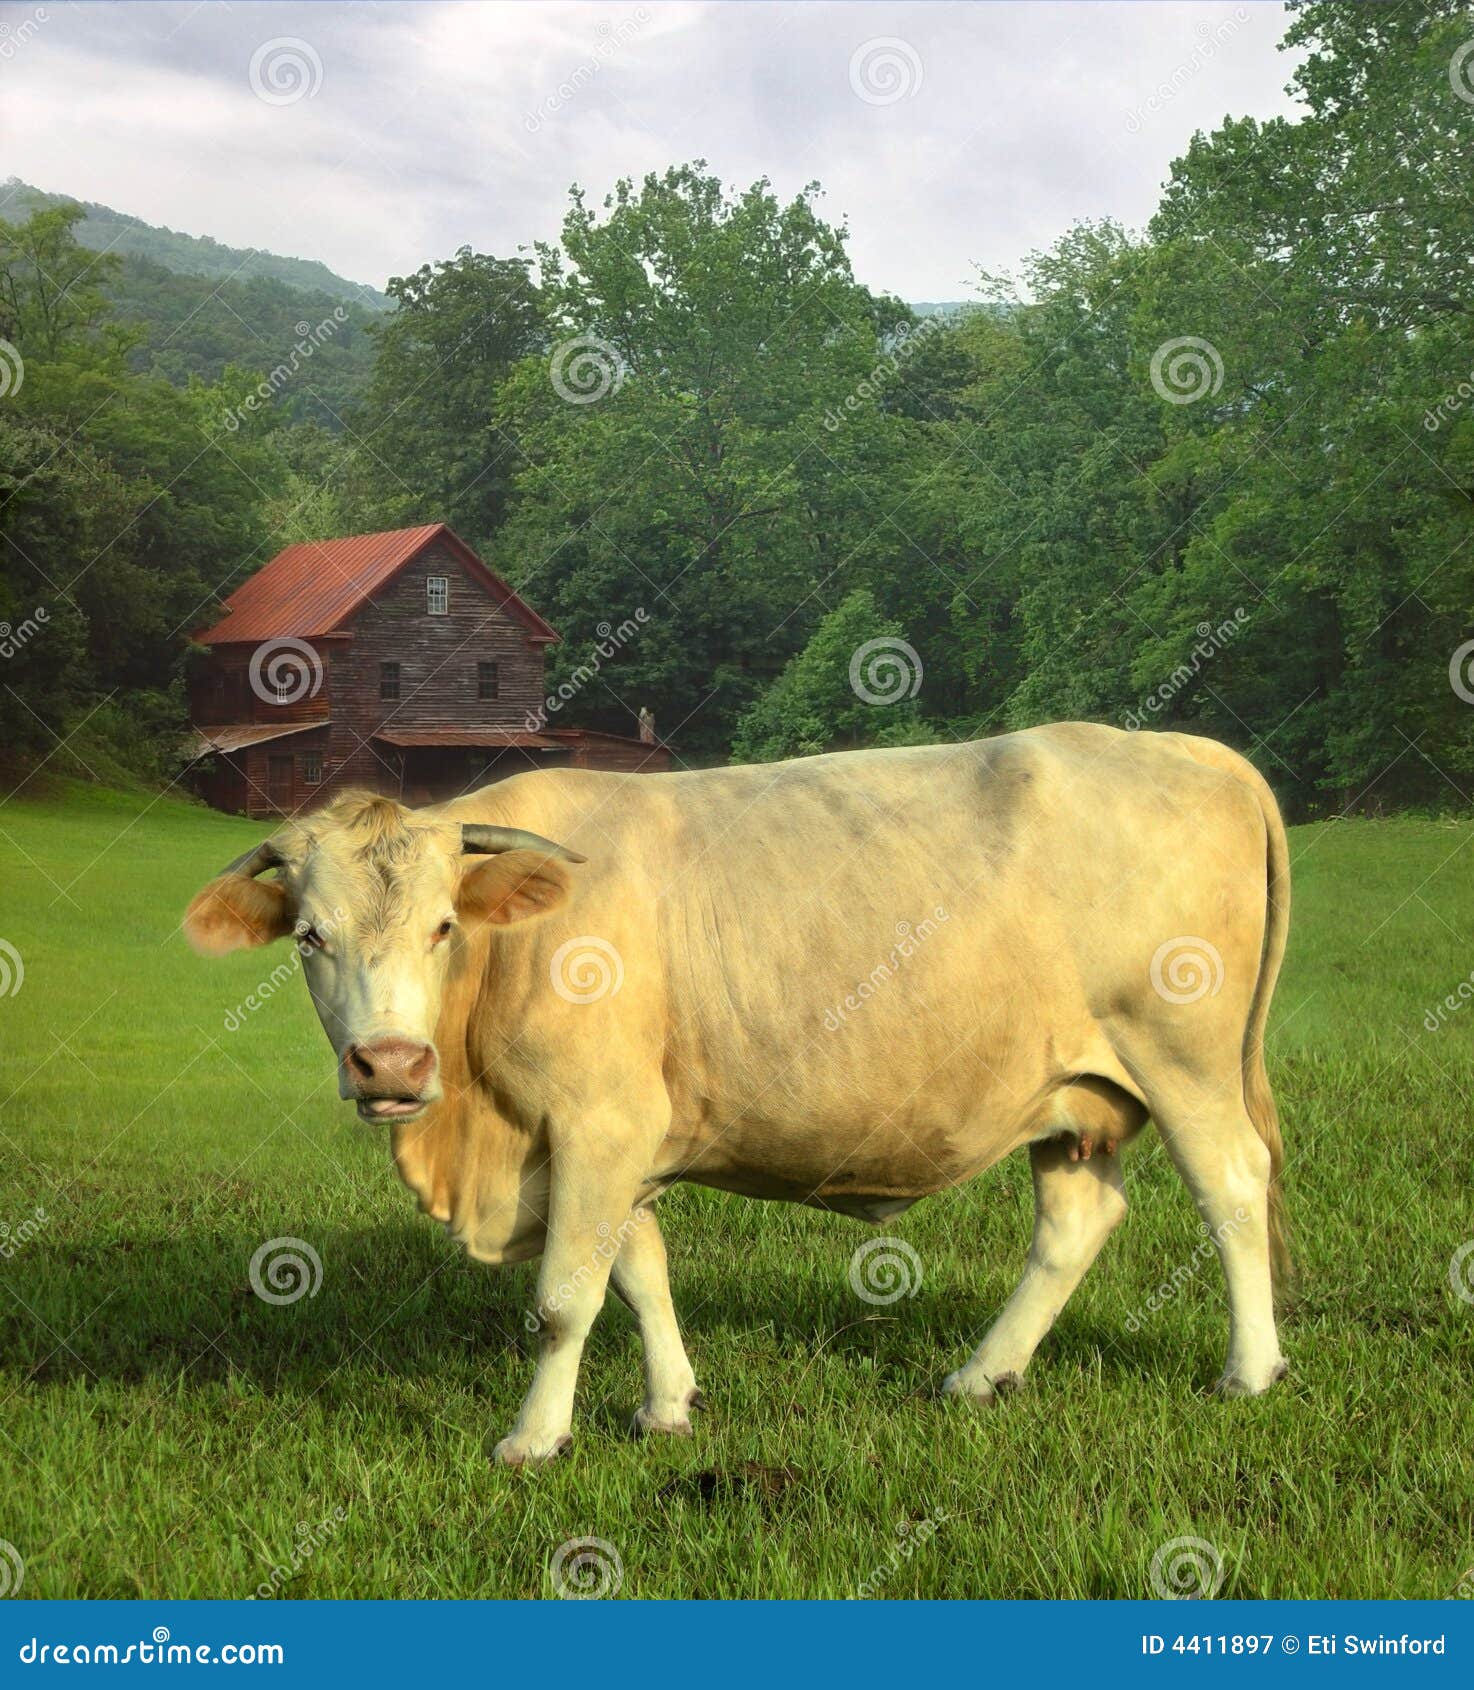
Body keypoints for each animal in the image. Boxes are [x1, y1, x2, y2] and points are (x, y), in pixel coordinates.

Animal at [183, 722, 1290, 1465]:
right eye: (309, 936)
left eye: (442, 927)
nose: (390, 1065)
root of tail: (1191, 748)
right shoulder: (613, 1130)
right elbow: (640, 1270)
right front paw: (667, 1404)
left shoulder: (600, 1118)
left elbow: (564, 1299)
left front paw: (535, 1438)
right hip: (1069, 1094)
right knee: (1075, 1222)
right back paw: (982, 1374)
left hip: (1183, 1057)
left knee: (1233, 1189)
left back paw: (1250, 1371)